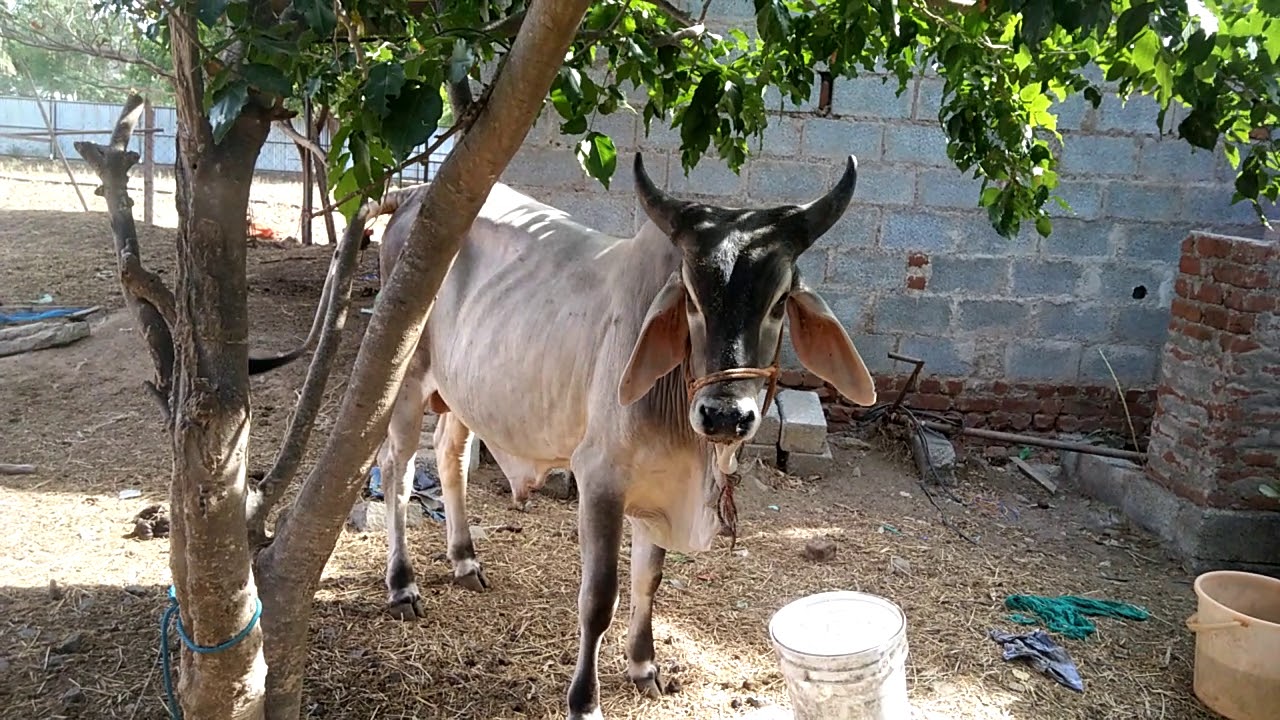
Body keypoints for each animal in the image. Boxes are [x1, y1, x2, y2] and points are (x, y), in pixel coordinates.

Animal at [357, 152, 876, 719]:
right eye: (691, 299)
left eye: (780, 302)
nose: (724, 415)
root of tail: (415, 194)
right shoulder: (601, 482)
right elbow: (599, 598)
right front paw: (585, 701)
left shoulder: (657, 492)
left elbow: (648, 581)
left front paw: (644, 666)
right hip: (406, 379)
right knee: (399, 471)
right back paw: (402, 586)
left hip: (465, 394)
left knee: (450, 457)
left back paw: (465, 560)